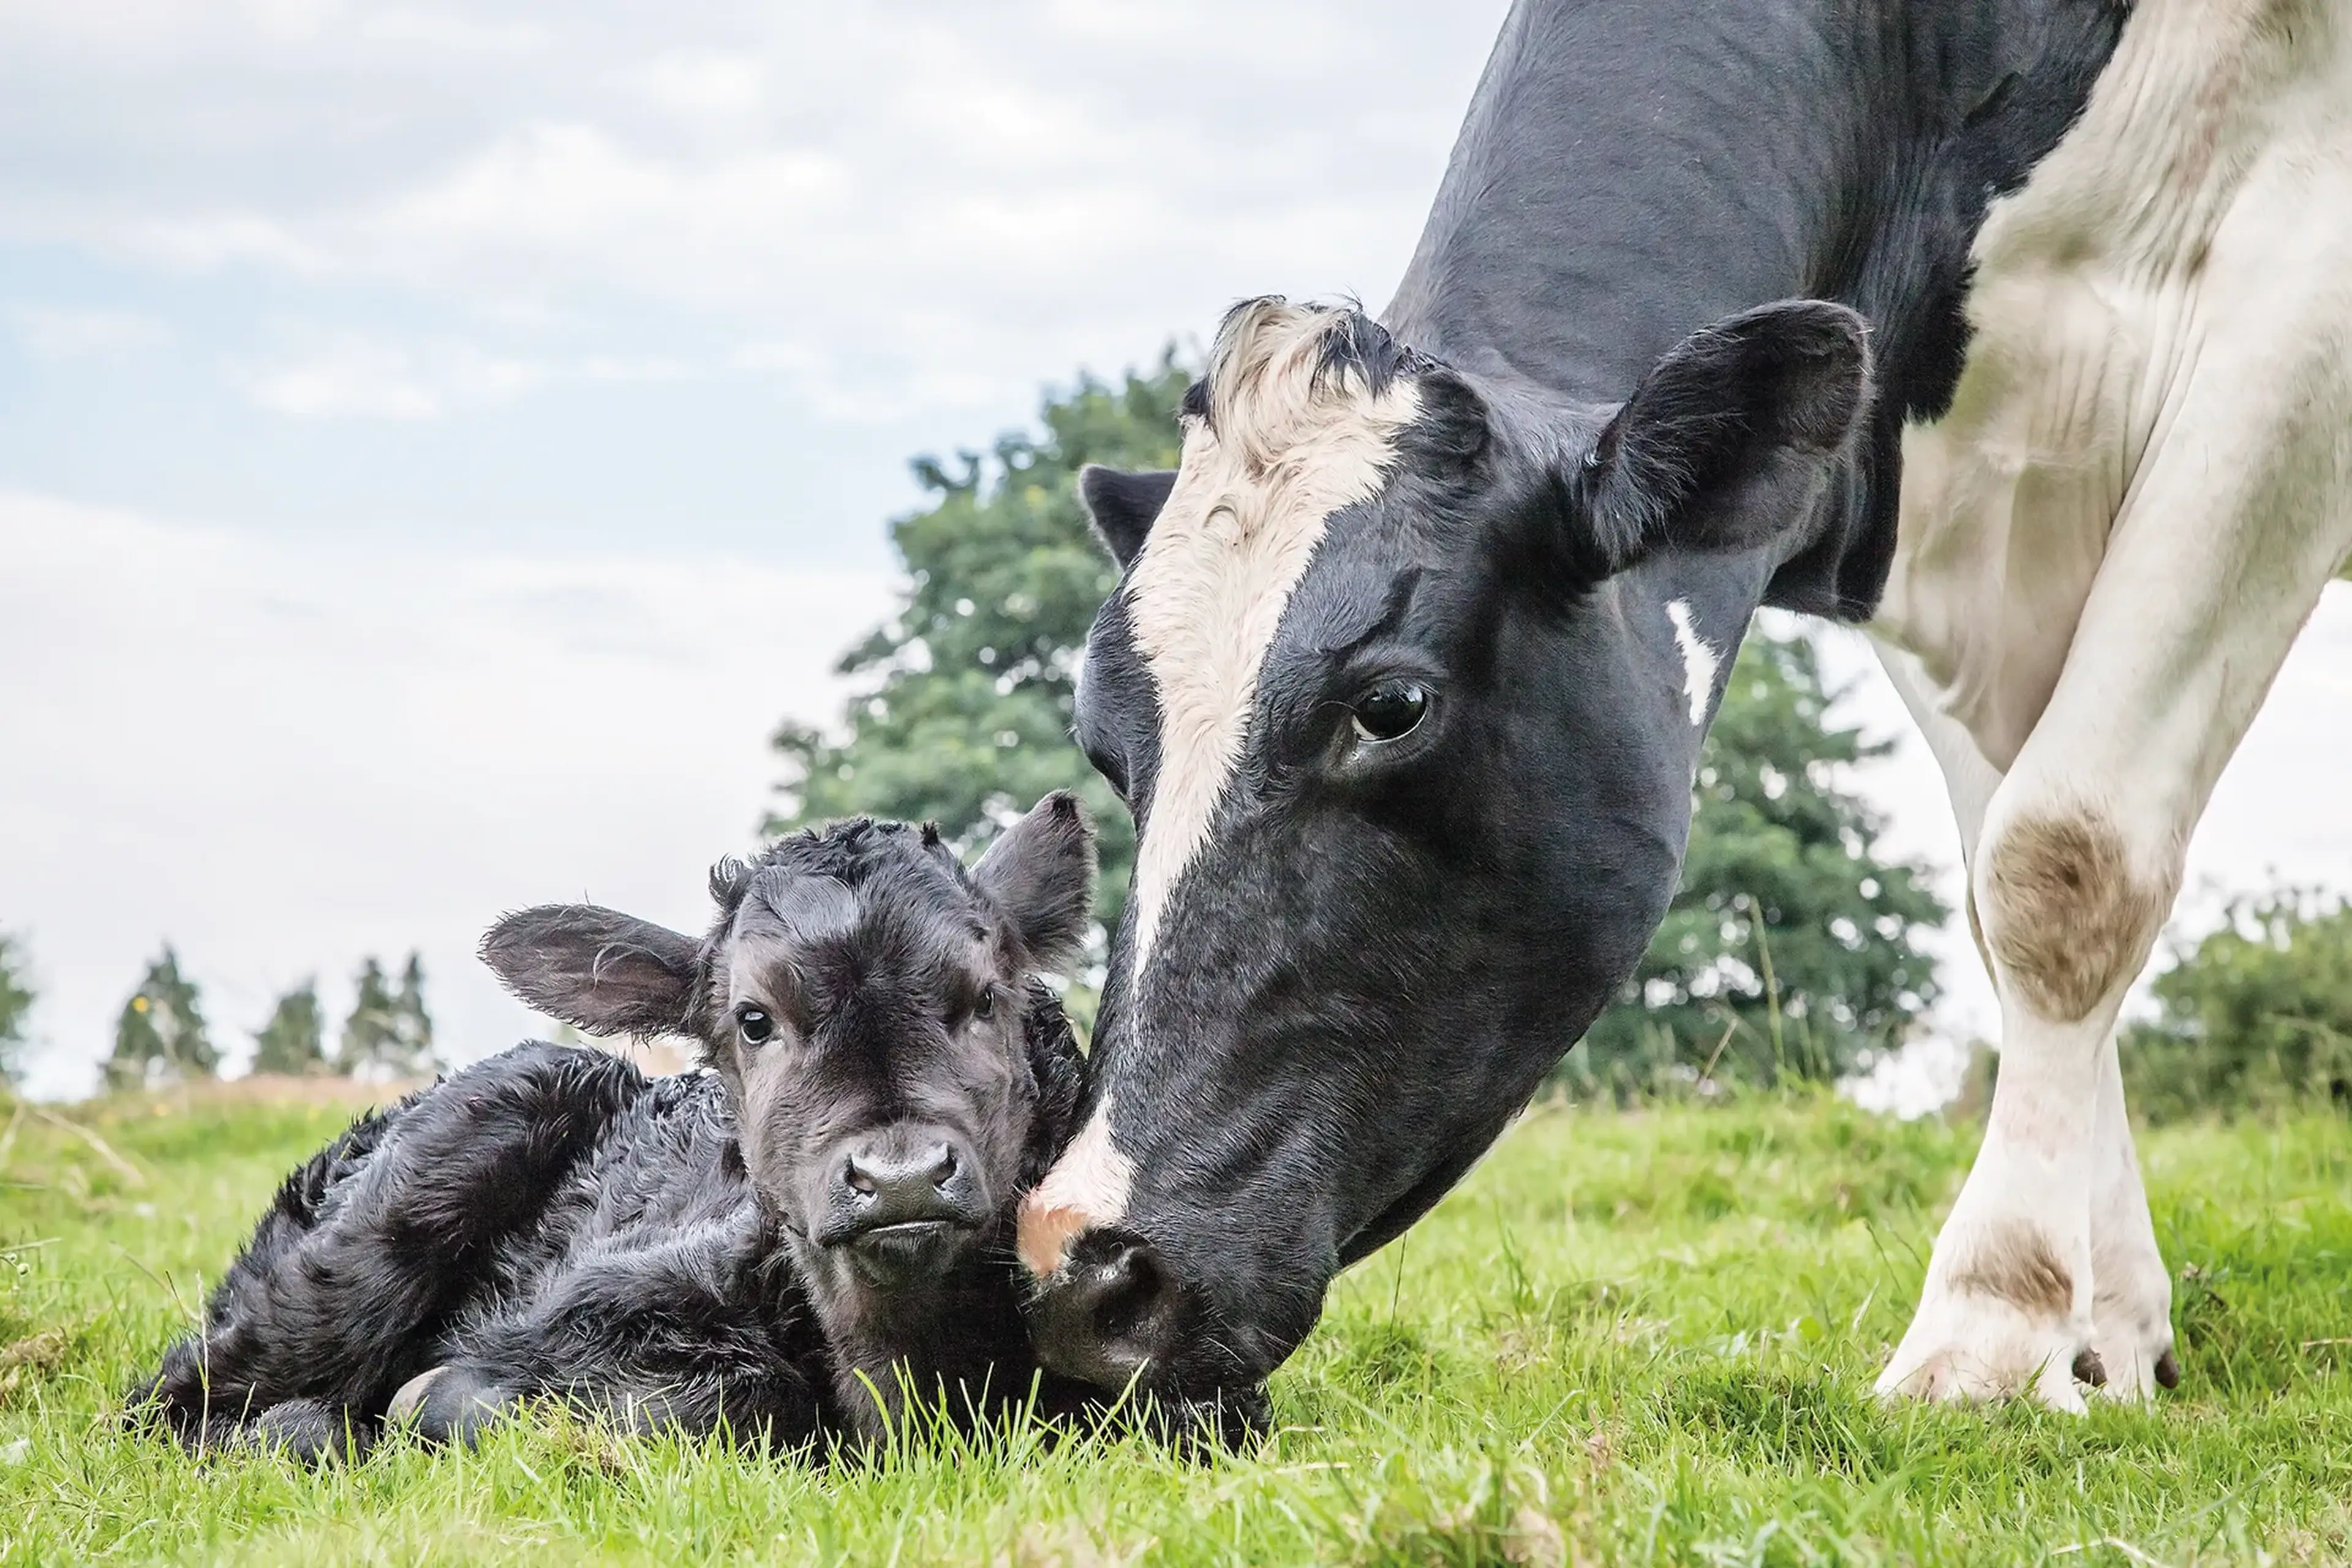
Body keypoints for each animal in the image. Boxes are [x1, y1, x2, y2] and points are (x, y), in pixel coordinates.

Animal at [1018, 0, 2352, 1422]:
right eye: (1103, 739)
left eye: (1390, 704)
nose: (1081, 1273)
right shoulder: (1952, 518)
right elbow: (2007, 898)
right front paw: (2109, 1329)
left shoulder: (2290, 321)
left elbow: (2063, 861)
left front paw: (1993, 1327)